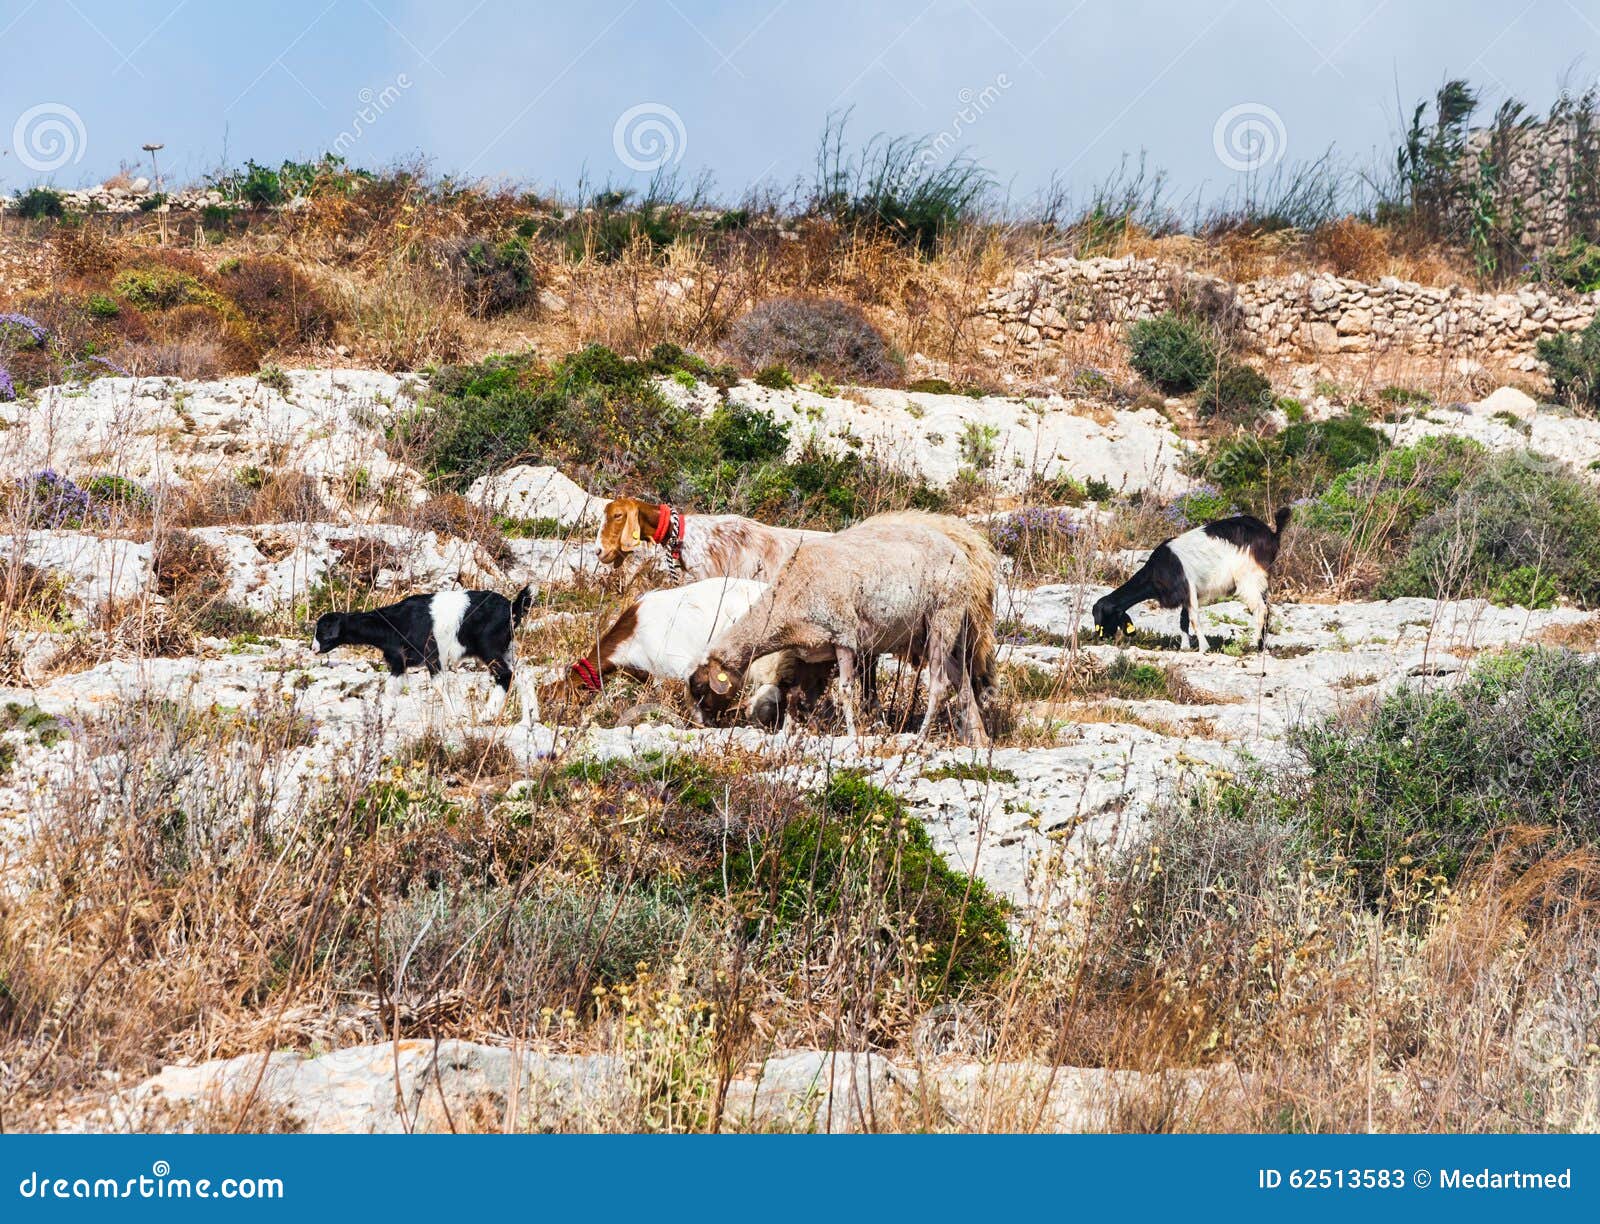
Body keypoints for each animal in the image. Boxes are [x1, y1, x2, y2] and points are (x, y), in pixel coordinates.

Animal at [311, 586, 538, 722]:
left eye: (322, 630)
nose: (313, 648)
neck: (394, 623)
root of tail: (512, 607)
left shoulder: (432, 655)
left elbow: (438, 684)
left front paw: (454, 717)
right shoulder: (399, 661)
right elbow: (391, 688)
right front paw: (386, 717)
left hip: (489, 647)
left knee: (505, 675)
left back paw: (486, 715)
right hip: (507, 648)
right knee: (522, 675)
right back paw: (530, 718)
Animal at [687, 511, 998, 745]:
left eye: (701, 688)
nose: (700, 725)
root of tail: (960, 550)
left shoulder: (845, 639)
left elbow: (846, 691)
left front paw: (851, 733)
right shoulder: (809, 654)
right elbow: (797, 695)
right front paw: (793, 730)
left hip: (941, 618)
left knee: (939, 683)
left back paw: (921, 737)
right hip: (941, 631)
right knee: (962, 679)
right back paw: (977, 737)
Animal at [1092, 508, 1290, 653]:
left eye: (1104, 618)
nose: (1102, 638)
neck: (1157, 569)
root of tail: (1272, 534)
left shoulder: (1187, 588)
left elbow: (1193, 618)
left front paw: (1203, 647)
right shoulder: (1186, 593)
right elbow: (1183, 619)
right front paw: (1185, 647)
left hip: (1249, 578)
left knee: (1261, 609)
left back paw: (1252, 644)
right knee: (1268, 609)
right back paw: (1261, 646)